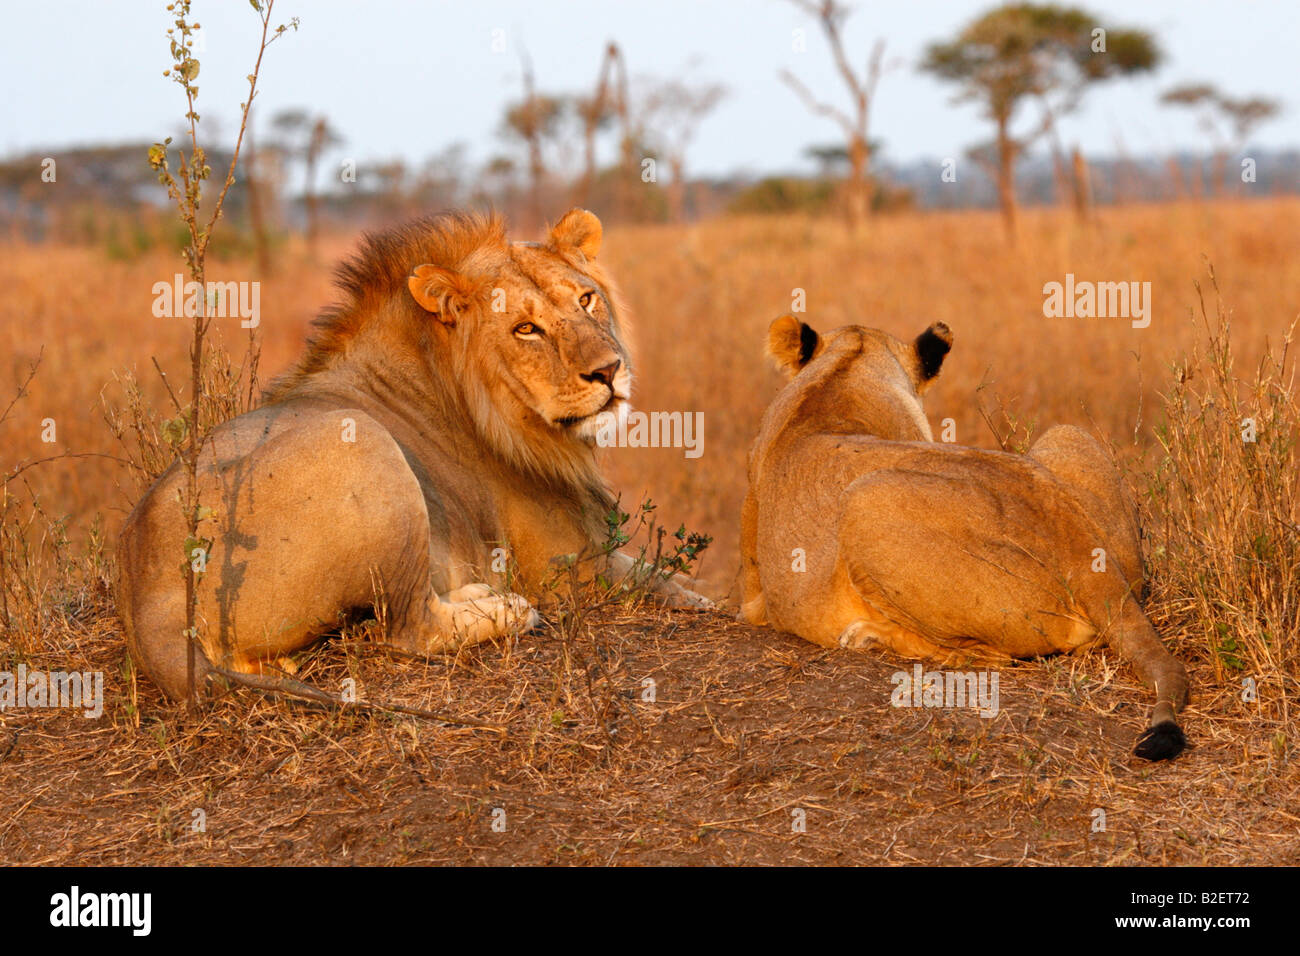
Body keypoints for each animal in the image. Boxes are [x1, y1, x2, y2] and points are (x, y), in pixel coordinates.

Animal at [116, 208, 708, 700]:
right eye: (526, 328)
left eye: (586, 299)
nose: (609, 370)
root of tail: (151, 605)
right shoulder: (567, 563)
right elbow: (660, 579)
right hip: (366, 445)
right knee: (409, 630)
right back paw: (506, 609)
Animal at [739, 314, 1189, 760]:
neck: (842, 375)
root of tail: (1083, 552)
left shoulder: (756, 597)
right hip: (1068, 436)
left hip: (863, 499)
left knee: (990, 657)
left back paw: (867, 636)